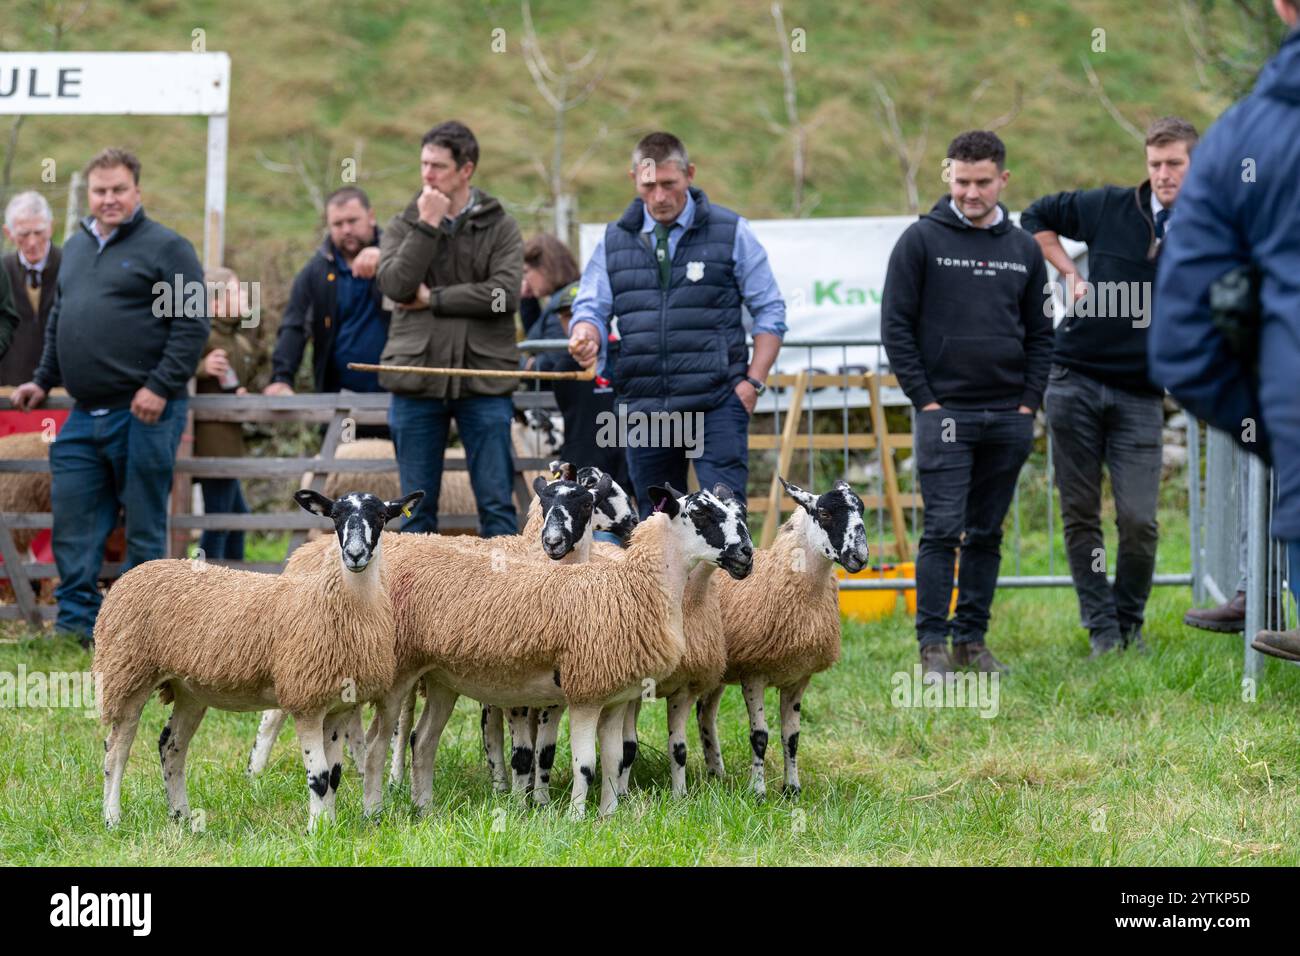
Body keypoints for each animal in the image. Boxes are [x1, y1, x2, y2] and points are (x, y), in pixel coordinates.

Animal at [94, 488, 422, 830]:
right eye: (335, 516)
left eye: (382, 516)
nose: (355, 555)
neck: (337, 601)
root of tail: (129, 575)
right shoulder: (305, 699)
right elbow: (318, 776)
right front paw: (316, 830)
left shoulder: (338, 707)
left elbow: (333, 775)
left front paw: (330, 826)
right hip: (127, 673)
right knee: (116, 750)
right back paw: (113, 818)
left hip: (188, 690)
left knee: (171, 746)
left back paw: (182, 815)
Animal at [385, 482, 753, 819]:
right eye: (701, 512)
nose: (747, 554)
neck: (631, 588)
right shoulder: (584, 694)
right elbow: (586, 764)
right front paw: (576, 818)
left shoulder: (616, 699)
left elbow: (615, 759)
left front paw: (608, 815)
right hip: (402, 670)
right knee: (396, 733)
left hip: (441, 679)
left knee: (423, 739)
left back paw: (424, 809)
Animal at [700, 478, 868, 799]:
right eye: (825, 513)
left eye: (862, 510)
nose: (860, 557)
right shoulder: (753, 673)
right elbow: (759, 736)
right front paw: (758, 792)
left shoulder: (798, 678)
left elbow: (792, 737)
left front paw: (792, 789)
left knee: (705, 714)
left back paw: (716, 772)